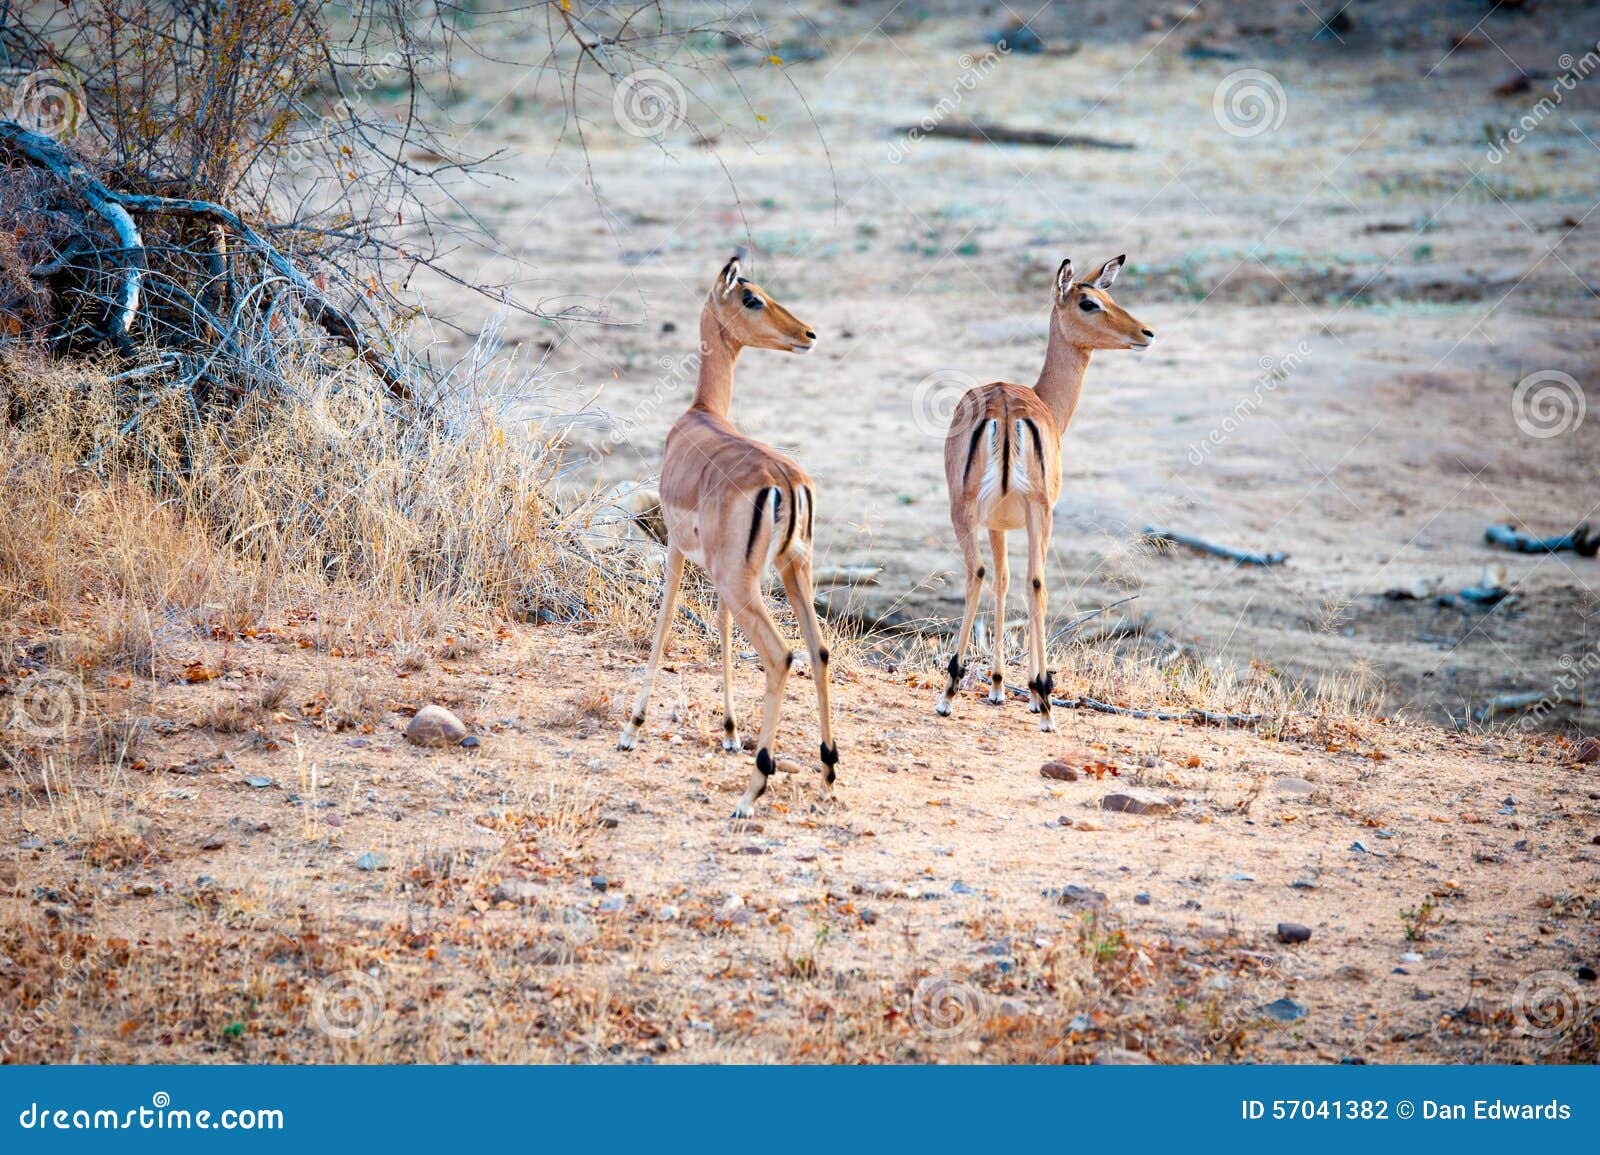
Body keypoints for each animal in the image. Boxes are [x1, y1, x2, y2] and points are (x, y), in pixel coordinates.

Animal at [618, 257, 839, 818]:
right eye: (752, 297)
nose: (808, 334)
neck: (700, 415)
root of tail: (787, 481)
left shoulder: (677, 550)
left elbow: (664, 622)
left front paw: (632, 728)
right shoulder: (718, 575)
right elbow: (717, 628)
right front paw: (730, 732)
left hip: (748, 582)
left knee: (781, 655)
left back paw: (752, 790)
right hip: (790, 570)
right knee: (818, 650)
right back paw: (828, 770)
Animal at [935, 255, 1154, 731]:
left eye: (1109, 295)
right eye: (1089, 302)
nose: (1146, 332)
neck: (1044, 401)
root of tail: (1004, 406)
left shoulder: (998, 523)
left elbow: (1003, 581)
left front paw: (999, 686)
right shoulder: (1028, 516)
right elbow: (1021, 584)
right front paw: (1028, 692)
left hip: (972, 512)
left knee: (987, 574)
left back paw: (960, 688)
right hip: (1033, 512)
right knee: (1032, 582)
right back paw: (1028, 699)